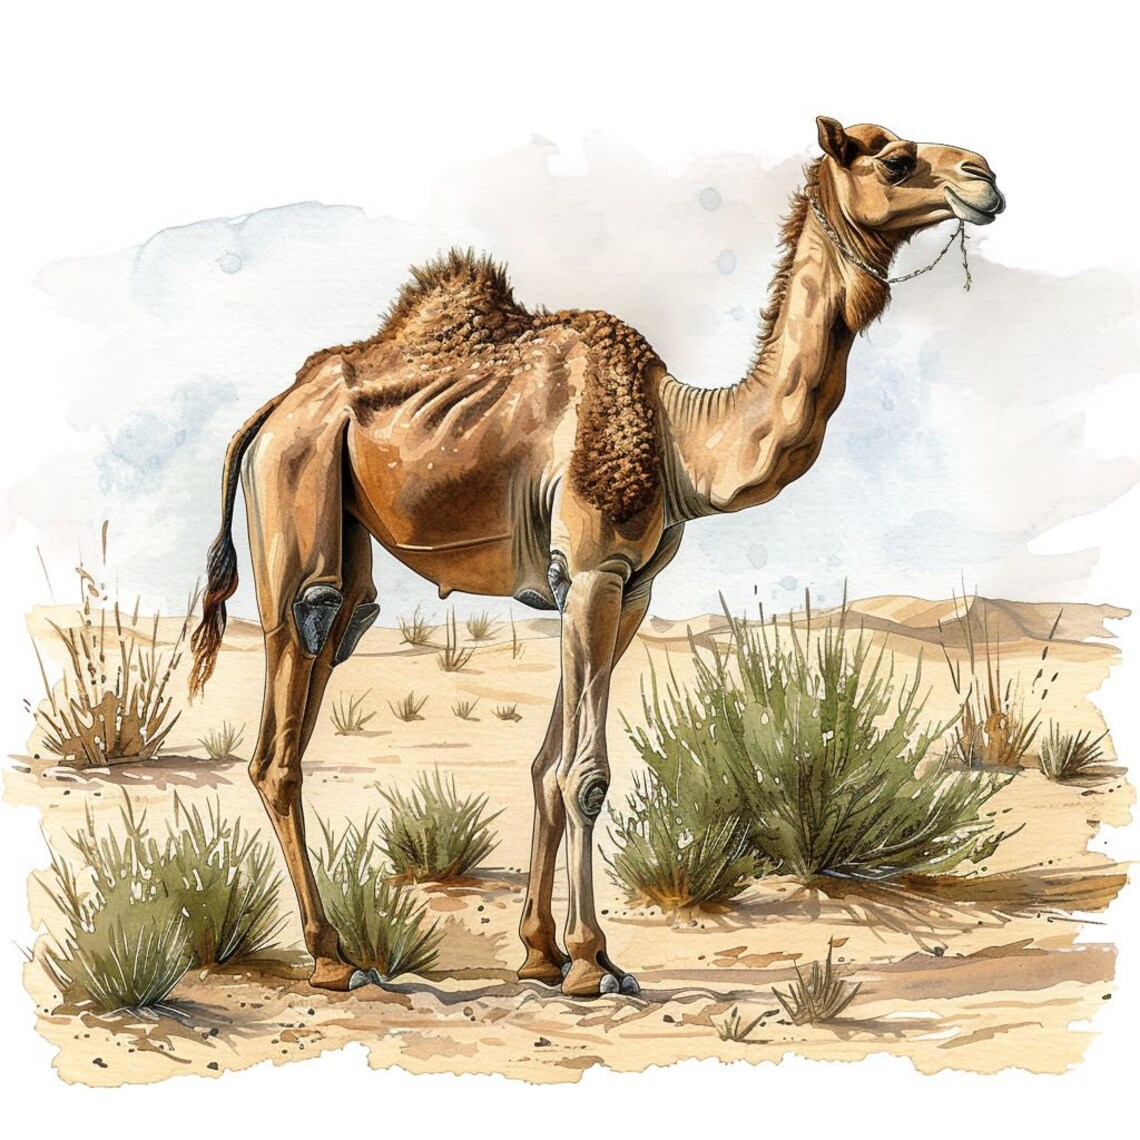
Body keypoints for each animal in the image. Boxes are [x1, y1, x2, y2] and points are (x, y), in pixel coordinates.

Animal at [188, 117, 1004, 998]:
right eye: (893, 158)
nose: (985, 176)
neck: (682, 437)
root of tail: (274, 407)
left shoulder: (629, 588)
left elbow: (547, 767)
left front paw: (543, 953)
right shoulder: (591, 571)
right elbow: (584, 778)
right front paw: (588, 964)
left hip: (347, 536)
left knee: (334, 650)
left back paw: (343, 949)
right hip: (295, 503)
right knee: (282, 728)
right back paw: (333, 958)